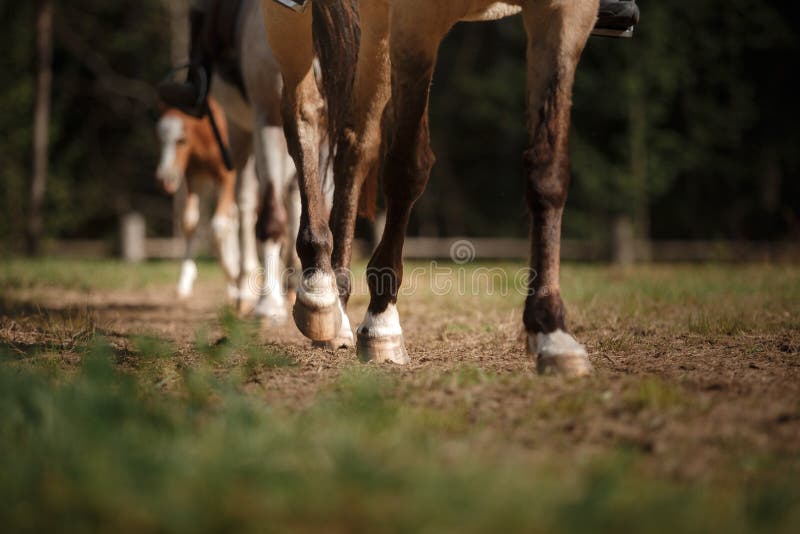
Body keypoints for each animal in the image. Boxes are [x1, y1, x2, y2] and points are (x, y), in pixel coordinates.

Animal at [156, 98, 249, 302]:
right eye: (159, 138)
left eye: (181, 140)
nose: (165, 179)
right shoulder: (194, 177)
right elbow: (189, 222)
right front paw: (184, 282)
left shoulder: (227, 176)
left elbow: (217, 226)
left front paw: (234, 274)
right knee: (233, 216)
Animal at [261, 0, 597, 376]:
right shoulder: (417, 19)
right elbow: (408, 168)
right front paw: (381, 321)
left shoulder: (567, 14)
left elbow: (549, 171)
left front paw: (552, 330)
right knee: (302, 111)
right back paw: (319, 286)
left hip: (376, 25)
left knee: (357, 143)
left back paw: (339, 304)